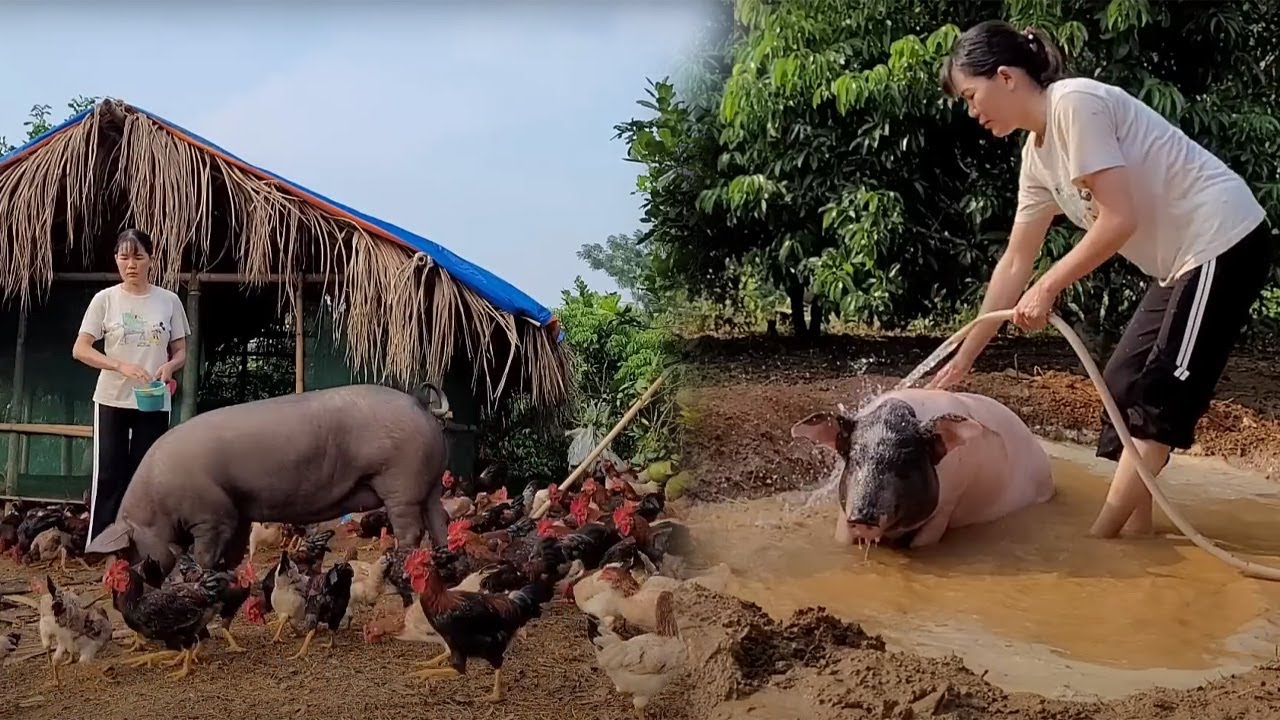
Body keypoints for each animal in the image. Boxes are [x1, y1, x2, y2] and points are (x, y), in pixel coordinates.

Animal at [84, 383, 453, 579]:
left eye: (129, 551)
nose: (122, 578)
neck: (157, 508)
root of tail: (420, 405)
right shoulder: (236, 512)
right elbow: (232, 549)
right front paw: (226, 575)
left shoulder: (213, 515)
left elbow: (206, 550)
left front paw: (202, 573)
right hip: (431, 482)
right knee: (439, 519)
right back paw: (445, 561)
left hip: (401, 482)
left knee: (411, 528)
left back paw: (404, 568)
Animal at [790, 388, 1054, 549]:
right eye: (853, 457)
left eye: (906, 461)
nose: (864, 517)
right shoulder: (845, 511)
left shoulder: (947, 506)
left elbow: (922, 543)